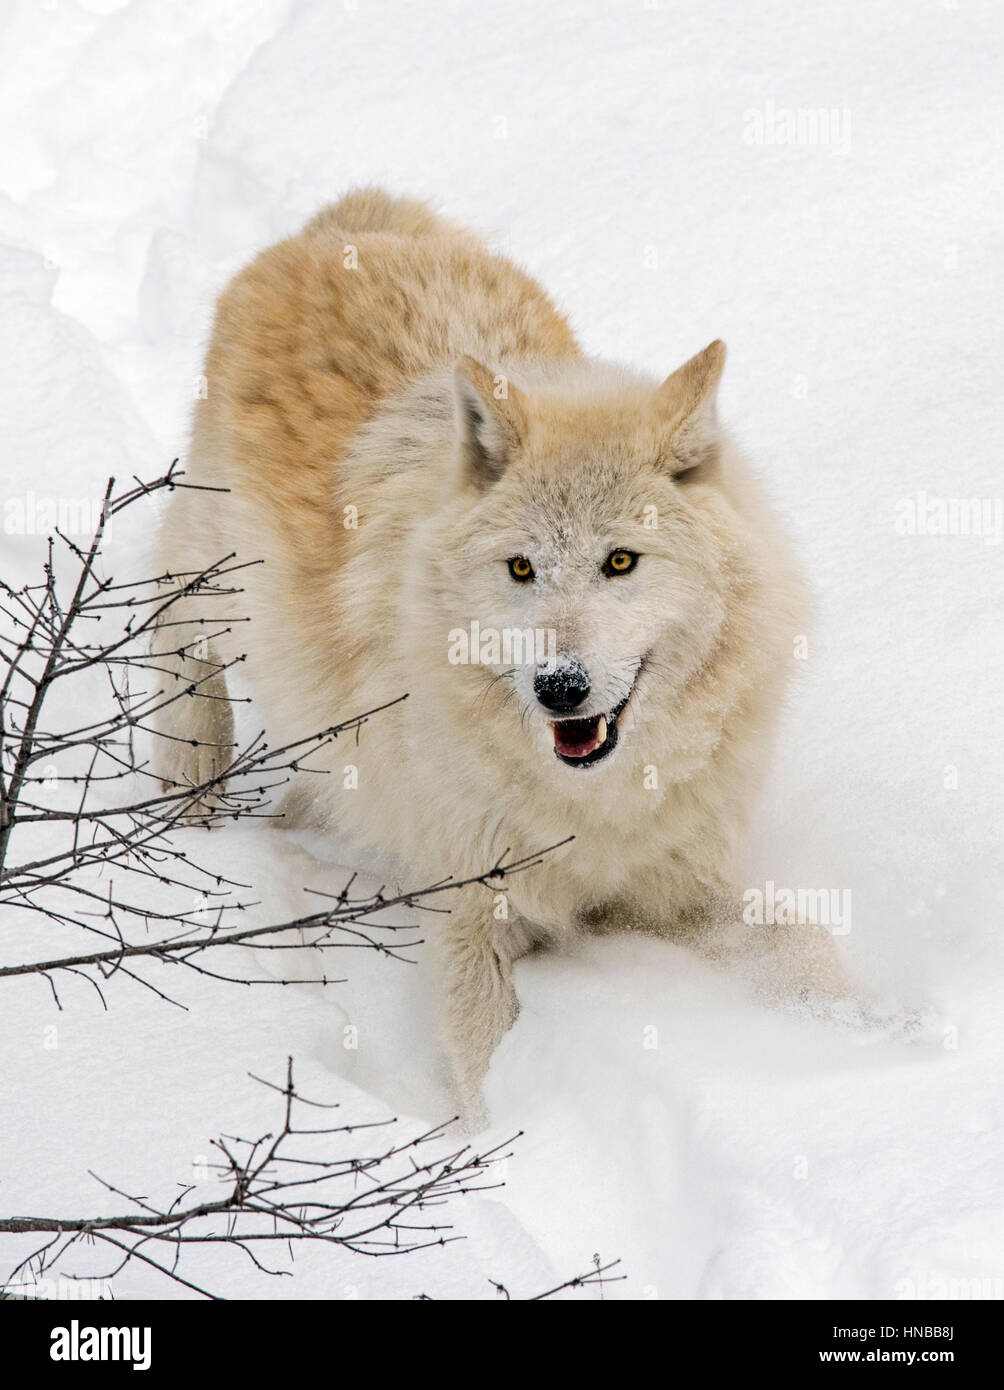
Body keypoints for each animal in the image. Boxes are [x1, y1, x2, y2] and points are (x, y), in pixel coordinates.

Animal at [154, 188, 838, 1124]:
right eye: (521, 569)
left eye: (620, 562)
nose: (560, 688)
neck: (592, 807)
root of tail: (341, 228)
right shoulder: (470, 912)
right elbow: (485, 1068)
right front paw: (505, 1149)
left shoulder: (683, 891)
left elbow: (810, 957)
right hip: (224, 590)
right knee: (162, 606)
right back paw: (189, 790)